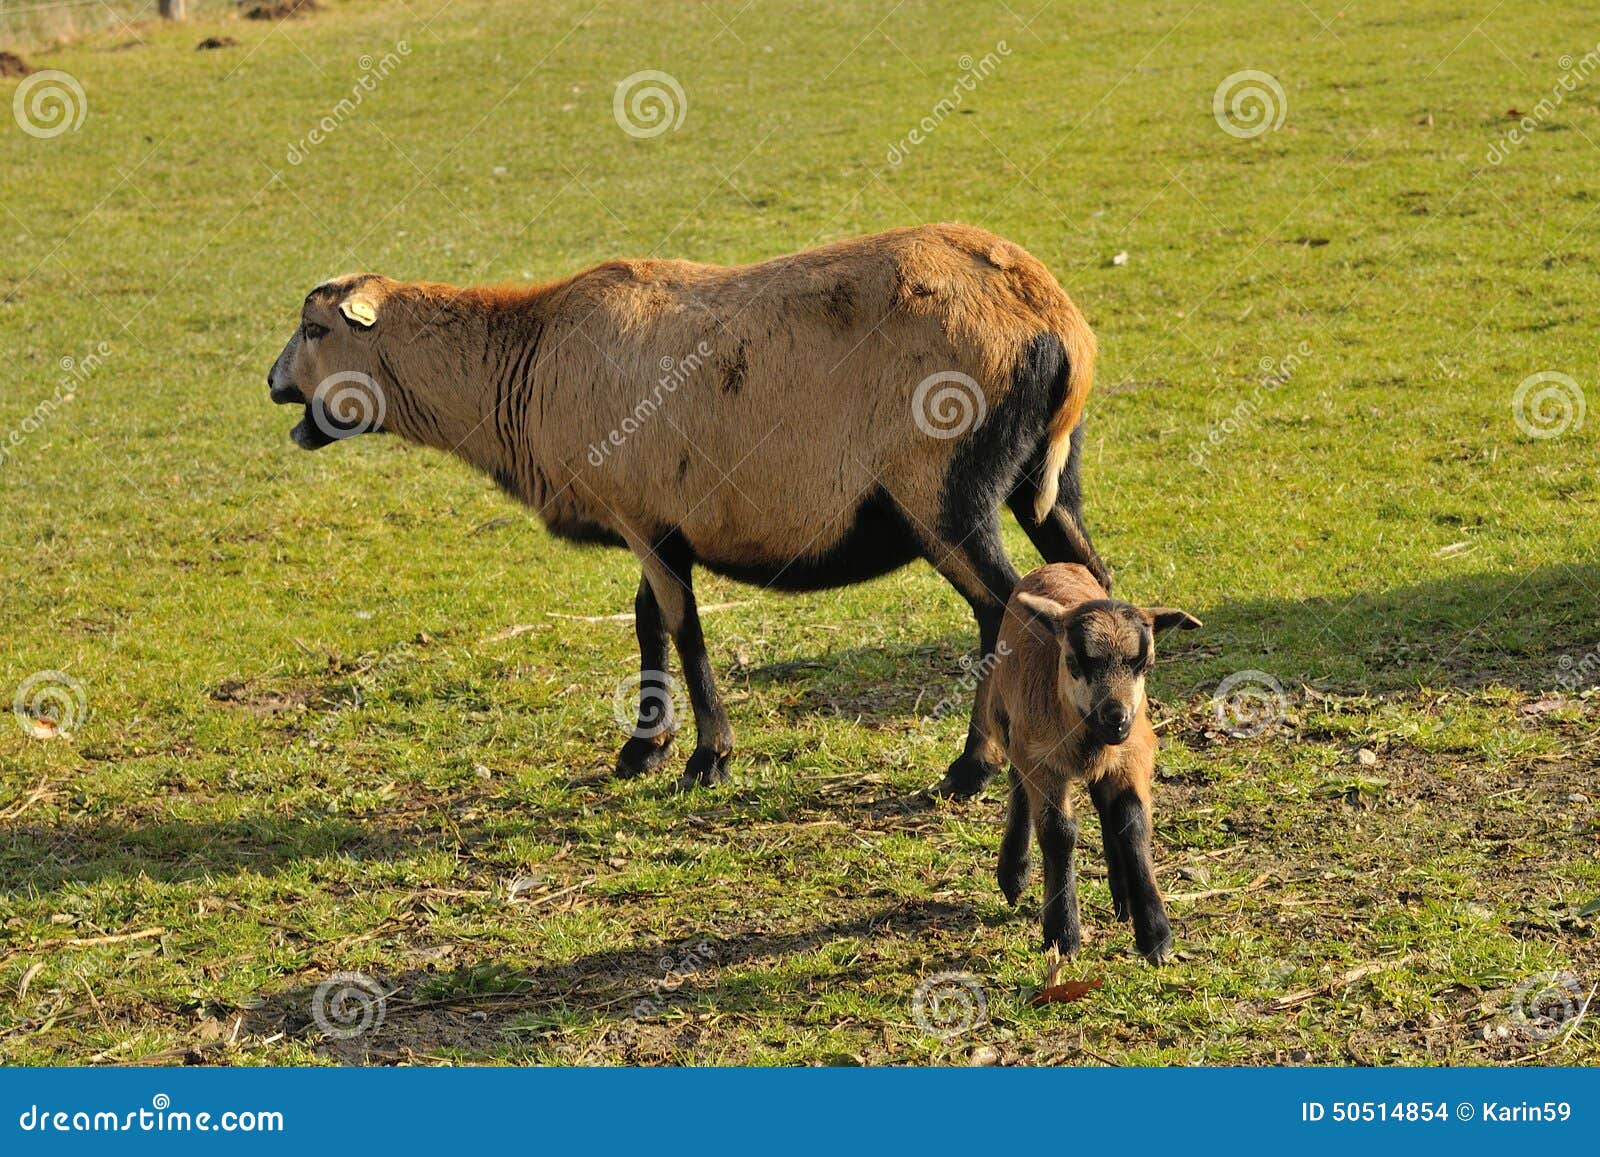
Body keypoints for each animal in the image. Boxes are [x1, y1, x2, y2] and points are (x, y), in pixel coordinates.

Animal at [265, 224, 1110, 792]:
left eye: (314, 328)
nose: (274, 385)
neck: (525, 361)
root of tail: (1054, 321)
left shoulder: (643, 519)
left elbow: (680, 625)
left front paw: (707, 756)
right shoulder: (652, 519)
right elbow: (648, 621)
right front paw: (647, 745)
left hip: (942, 492)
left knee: (1003, 609)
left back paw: (970, 766)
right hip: (1045, 483)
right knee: (1090, 581)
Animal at [981, 562, 1199, 975]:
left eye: (1144, 664)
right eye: (1074, 662)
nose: (1116, 717)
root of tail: (1055, 566)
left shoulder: (1135, 751)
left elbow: (1132, 821)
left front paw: (1155, 935)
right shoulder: (1041, 758)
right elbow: (1059, 832)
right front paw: (1062, 934)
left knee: (1104, 804)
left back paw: (1122, 896)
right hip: (1005, 716)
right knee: (1018, 783)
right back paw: (1013, 873)